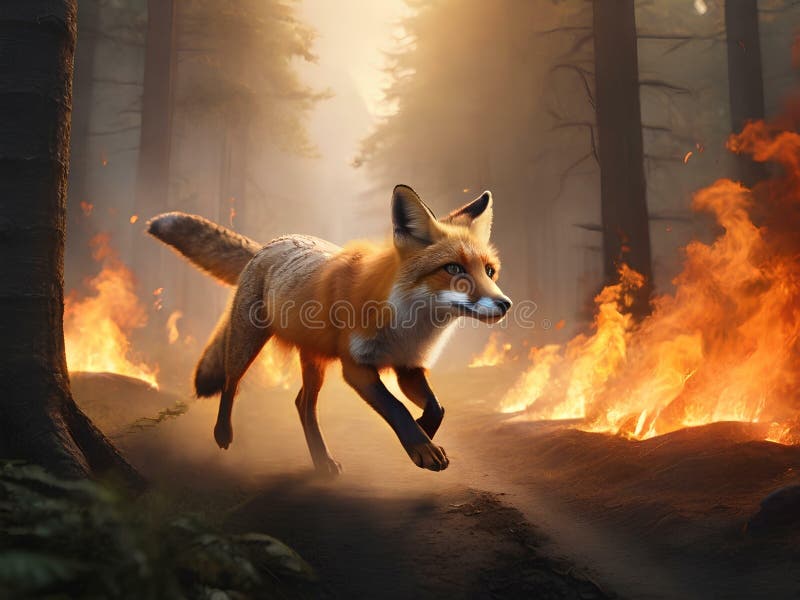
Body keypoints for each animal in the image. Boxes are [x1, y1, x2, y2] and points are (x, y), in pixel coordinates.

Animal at [147, 185, 511, 475]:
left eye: (489, 271)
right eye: (454, 269)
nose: (505, 304)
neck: (408, 326)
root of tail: (270, 244)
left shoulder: (408, 366)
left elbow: (436, 408)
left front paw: (424, 433)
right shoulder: (357, 367)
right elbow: (397, 408)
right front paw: (421, 446)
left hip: (315, 360)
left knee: (302, 405)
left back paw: (322, 462)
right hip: (248, 342)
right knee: (231, 381)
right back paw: (223, 433)